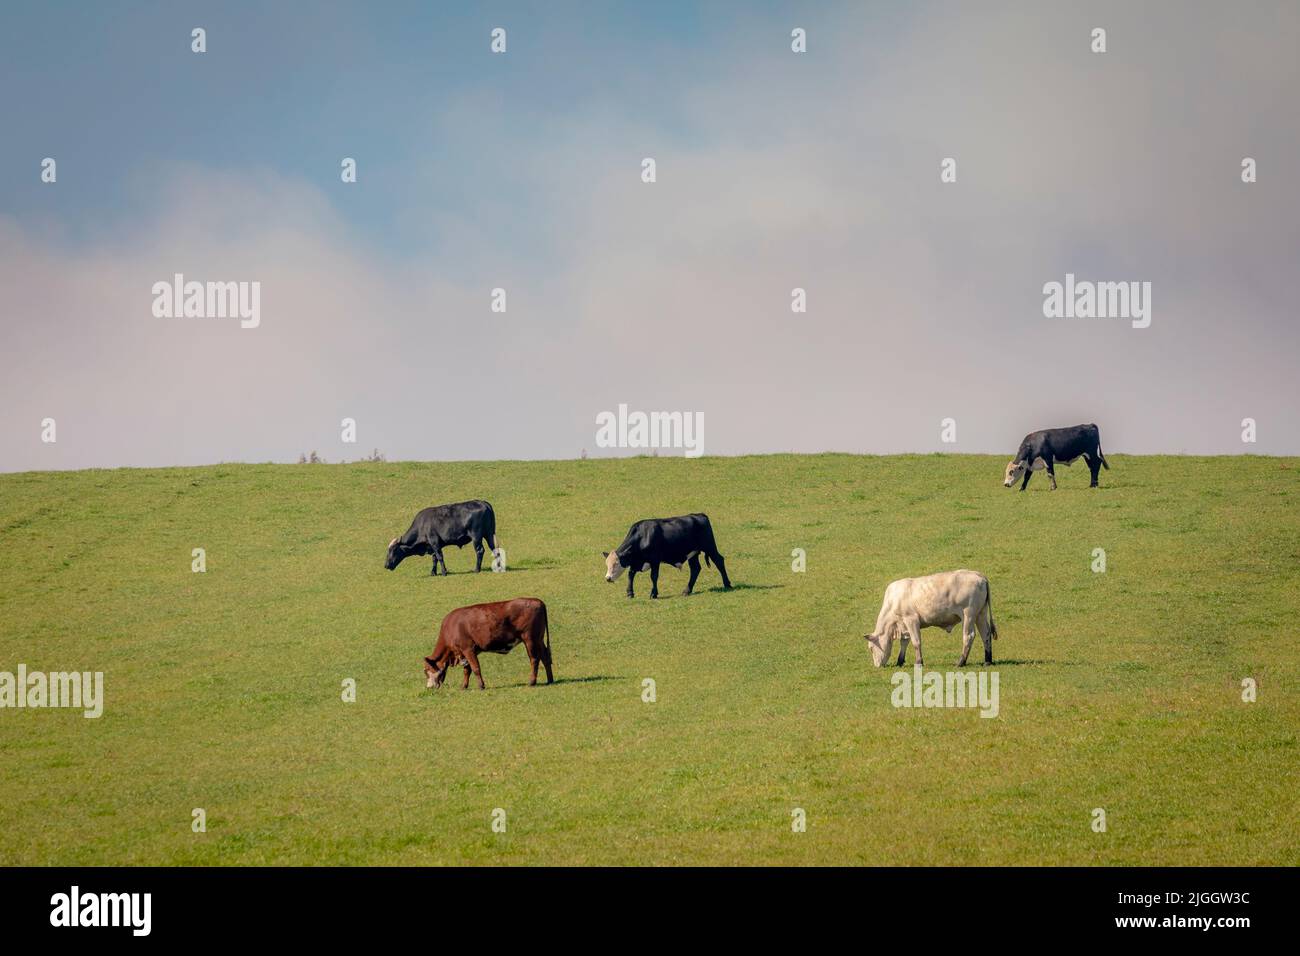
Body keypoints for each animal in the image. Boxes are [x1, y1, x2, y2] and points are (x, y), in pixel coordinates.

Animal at [423, 597, 552, 690]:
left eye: (427, 671)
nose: (429, 688)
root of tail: (537, 600)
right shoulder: (467, 652)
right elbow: (467, 670)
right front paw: (464, 686)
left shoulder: (468, 649)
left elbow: (475, 668)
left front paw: (481, 686)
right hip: (539, 639)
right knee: (545, 658)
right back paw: (550, 680)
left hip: (530, 639)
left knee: (534, 659)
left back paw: (532, 682)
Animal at [602, 513, 732, 599]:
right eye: (607, 564)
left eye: (616, 563)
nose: (608, 578)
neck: (643, 536)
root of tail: (700, 515)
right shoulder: (636, 562)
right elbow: (630, 575)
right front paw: (630, 593)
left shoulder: (655, 560)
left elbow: (653, 576)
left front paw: (653, 594)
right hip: (693, 553)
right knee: (695, 569)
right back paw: (687, 590)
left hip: (709, 546)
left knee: (719, 561)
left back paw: (727, 584)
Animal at [864, 570, 997, 667]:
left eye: (871, 648)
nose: (877, 666)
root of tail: (979, 575)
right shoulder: (904, 625)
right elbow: (905, 642)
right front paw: (900, 661)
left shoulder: (911, 619)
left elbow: (916, 641)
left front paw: (918, 662)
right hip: (980, 614)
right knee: (985, 634)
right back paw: (987, 661)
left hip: (968, 614)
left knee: (969, 636)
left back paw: (961, 662)